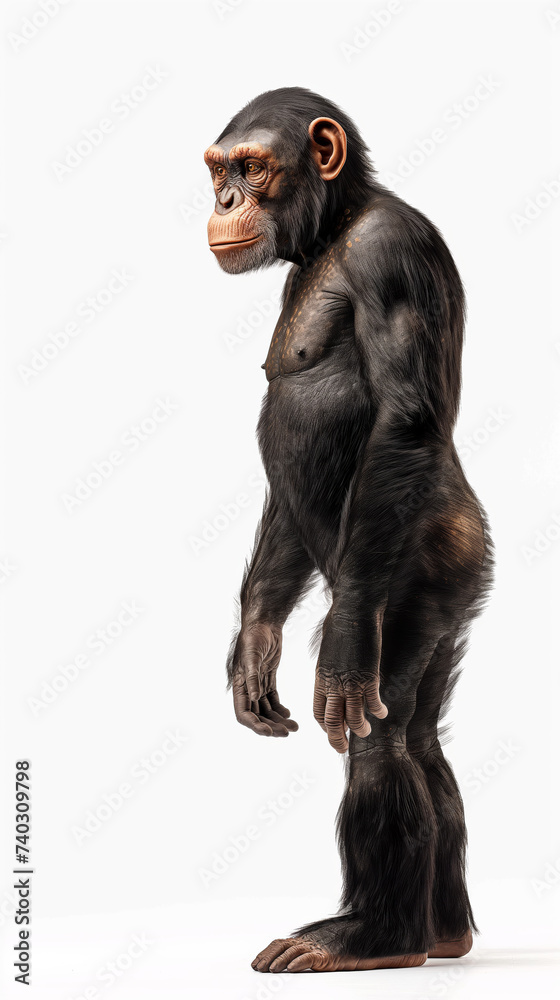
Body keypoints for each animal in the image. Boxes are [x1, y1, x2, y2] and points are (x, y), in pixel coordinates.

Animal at [204, 86, 493, 973]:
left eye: (252, 167)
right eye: (219, 171)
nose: (224, 202)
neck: (335, 228)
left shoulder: (392, 259)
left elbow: (400, 418)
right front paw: (254, 646)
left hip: (422, 581)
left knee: (381, 736)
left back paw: (372, 937)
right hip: (455, 610)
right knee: (425, 735)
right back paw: (443, 934)